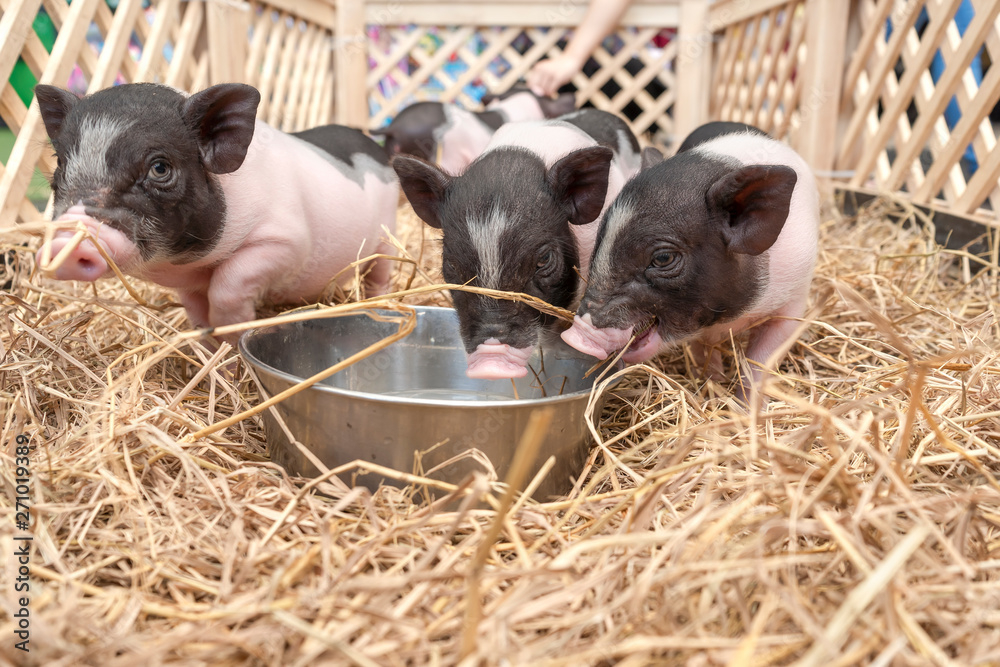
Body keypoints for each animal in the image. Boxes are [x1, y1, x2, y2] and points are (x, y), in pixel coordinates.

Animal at [33, 82, 398, 332]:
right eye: (61, 163)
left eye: (160, 168)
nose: (66, 240)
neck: (190, 263)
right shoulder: (188, 283)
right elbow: (197, 314)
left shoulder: (286, 241)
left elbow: (227, 288)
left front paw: (237, 330)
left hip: (387, 235)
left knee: (380, 272)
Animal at [561, 121, 820, 399]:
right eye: (600, 240)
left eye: (663, 258)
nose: (576, 335)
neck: (734, 315)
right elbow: (702, 350)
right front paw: (711, 387)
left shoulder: (792, 306)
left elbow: (759, 364)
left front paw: (743, 405)